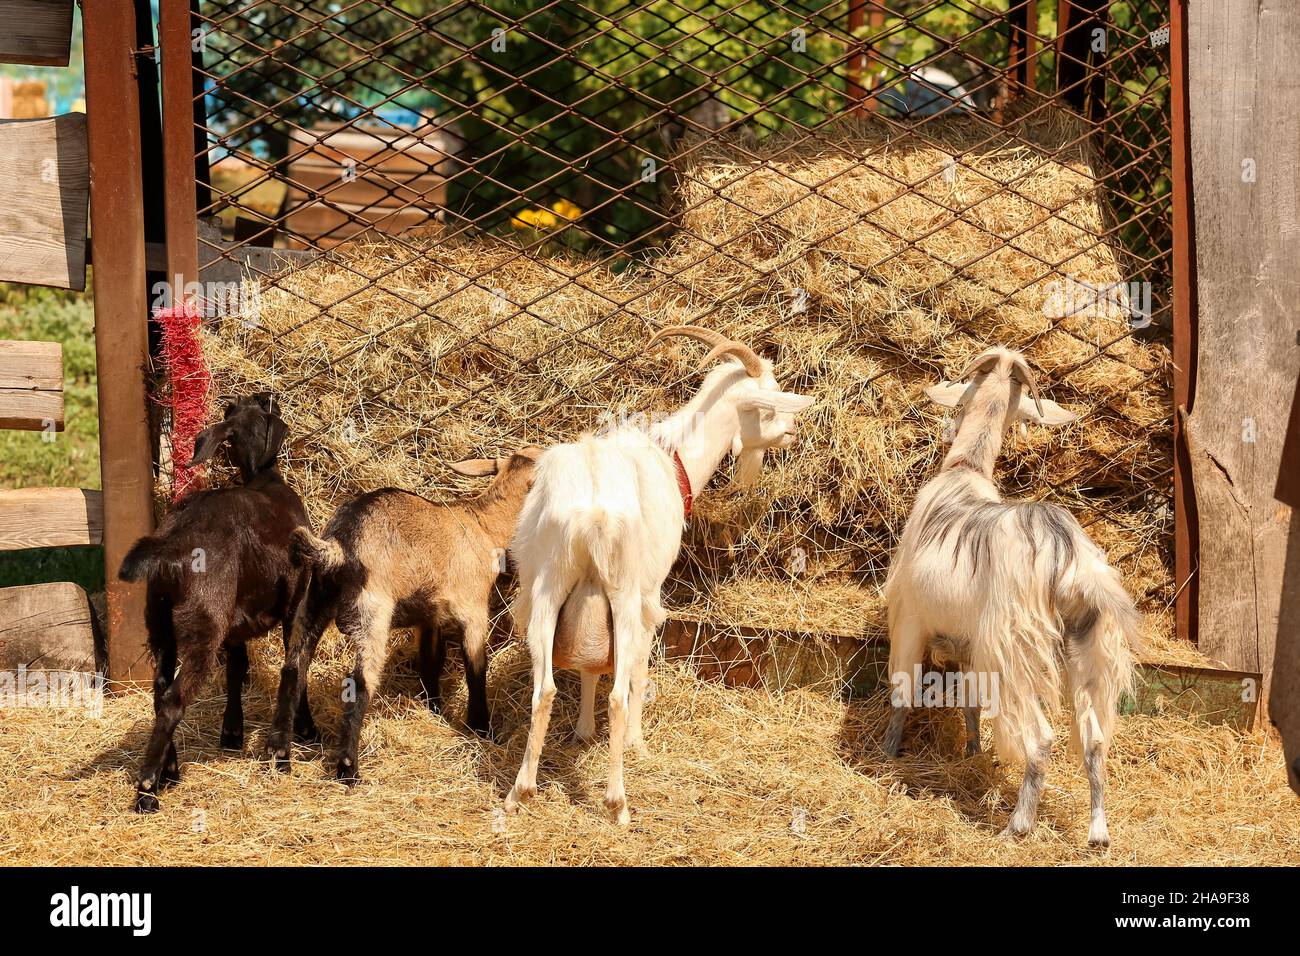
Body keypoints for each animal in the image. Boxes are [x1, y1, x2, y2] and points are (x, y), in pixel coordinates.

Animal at [118, 393, 315, 813]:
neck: (266, 480)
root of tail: (171, 545)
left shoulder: (236, 626)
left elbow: (238, 670)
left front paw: (233, 731)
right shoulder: (297, 603)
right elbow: (295, 667)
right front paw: (295, 740)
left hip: (162, 627)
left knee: (160, 693)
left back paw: (169, 770)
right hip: (202, 629)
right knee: (173, 700)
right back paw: (147, 789)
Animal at [272, 447, 543, 783]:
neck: (483, 526)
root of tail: (336, 547)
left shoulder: (430, 617)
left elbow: (430, 662)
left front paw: (434, 709)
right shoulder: (473, 611)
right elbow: (476, 668)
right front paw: (482, 728)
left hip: (313, 603)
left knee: (293, 669)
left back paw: (283, 755)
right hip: (372, 612)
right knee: (359, 682)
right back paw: (348, 769)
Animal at [505, 326, 815, 824]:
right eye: (768, 400)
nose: (791, 432)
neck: (677, 459)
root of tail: (593, 510)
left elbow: (590, 669)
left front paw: (582, 731)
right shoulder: (651, 593)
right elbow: (637, 670)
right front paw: (637, 742)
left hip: (548, 584)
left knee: (544, 689)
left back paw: (521, 791)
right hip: (626, 591)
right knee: (618, 690)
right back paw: (618, 802)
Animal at [883, 347, 1140, 847]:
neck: (963, 472)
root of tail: (1071, 560)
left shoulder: (910, 618)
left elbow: (902, 690)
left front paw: (885, 751)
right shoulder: (965, 643)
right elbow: (967, 703)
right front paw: (971, 752)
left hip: (1015, 650)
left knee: (1041, 738)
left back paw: (1018, 825)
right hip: (1085, 648)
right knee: (1095, 740)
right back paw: (1098, 832)